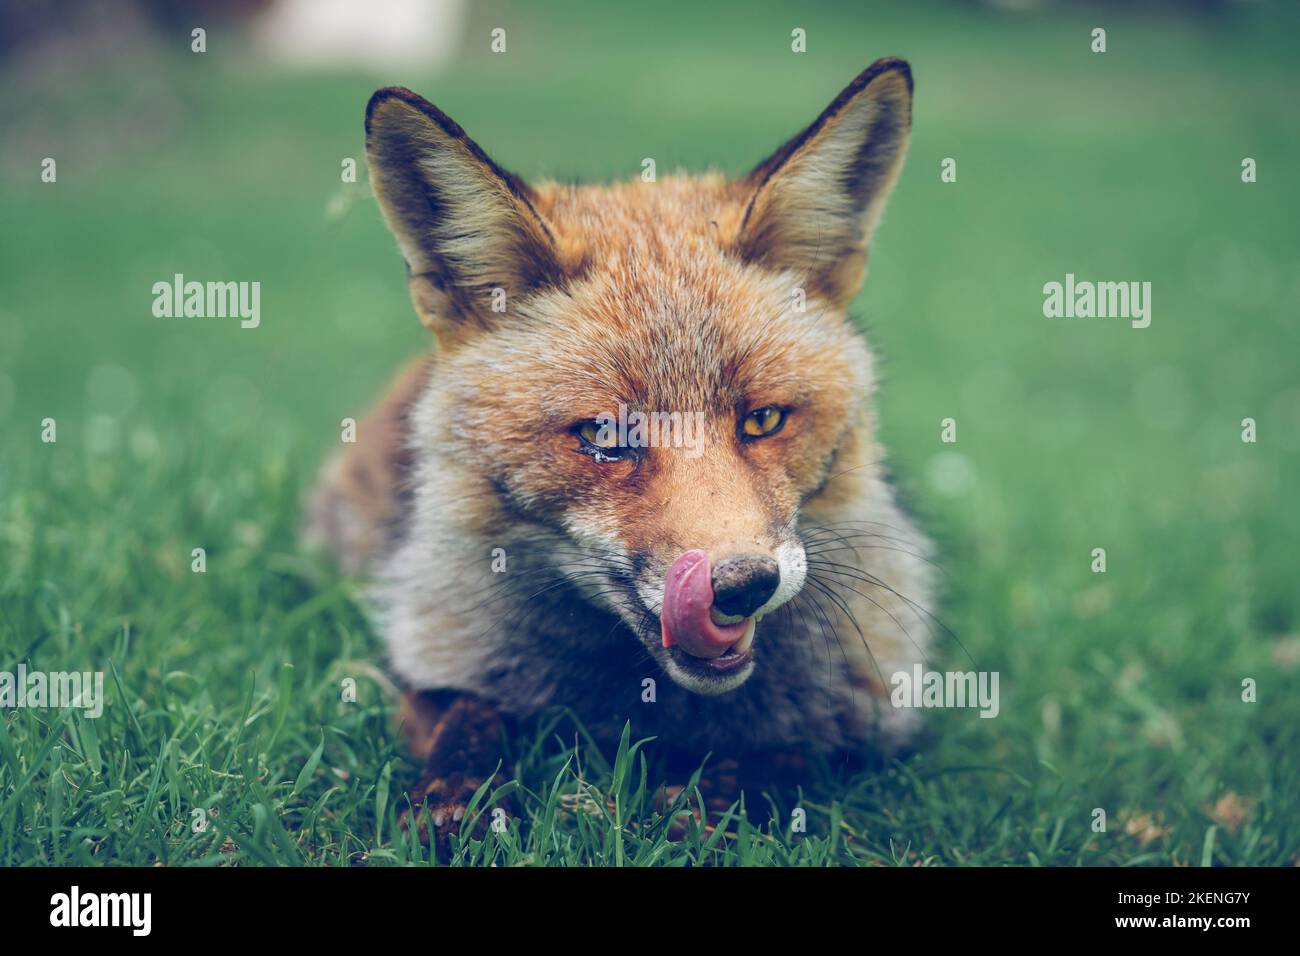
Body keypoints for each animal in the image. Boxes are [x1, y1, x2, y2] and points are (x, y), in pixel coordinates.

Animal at [307, 58, 935, 841]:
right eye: (605, 437)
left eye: (762, 420)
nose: (742, 586)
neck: (644, 700)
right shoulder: (432, 658)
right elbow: (468, 718)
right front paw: (460, 801)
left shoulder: (874, 718)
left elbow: (792, 759)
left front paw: (700, 807)